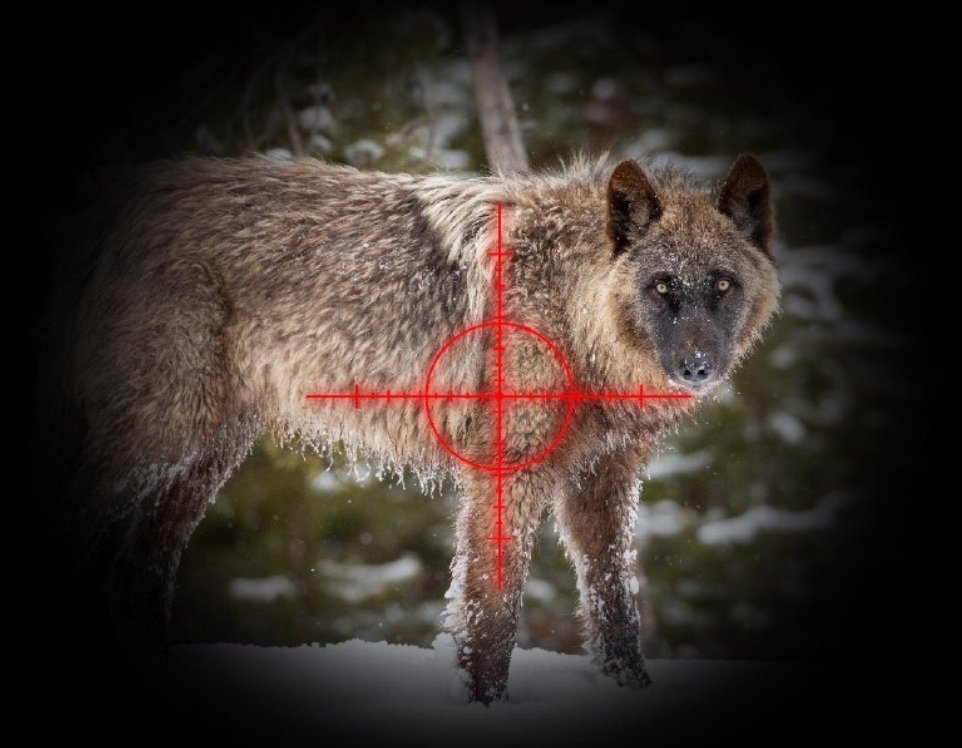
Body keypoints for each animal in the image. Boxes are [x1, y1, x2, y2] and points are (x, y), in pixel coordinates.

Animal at [47, 153, 778, 703]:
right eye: (662, 288)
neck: (573, 312)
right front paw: (484, 708)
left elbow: (614, 606)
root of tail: (117, 210)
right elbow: (490, 613)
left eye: (721, 286)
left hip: (200, 460)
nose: (697, 366)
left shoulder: (603, 486)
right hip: (160, 443)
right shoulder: (506, 476)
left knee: (141, 573)